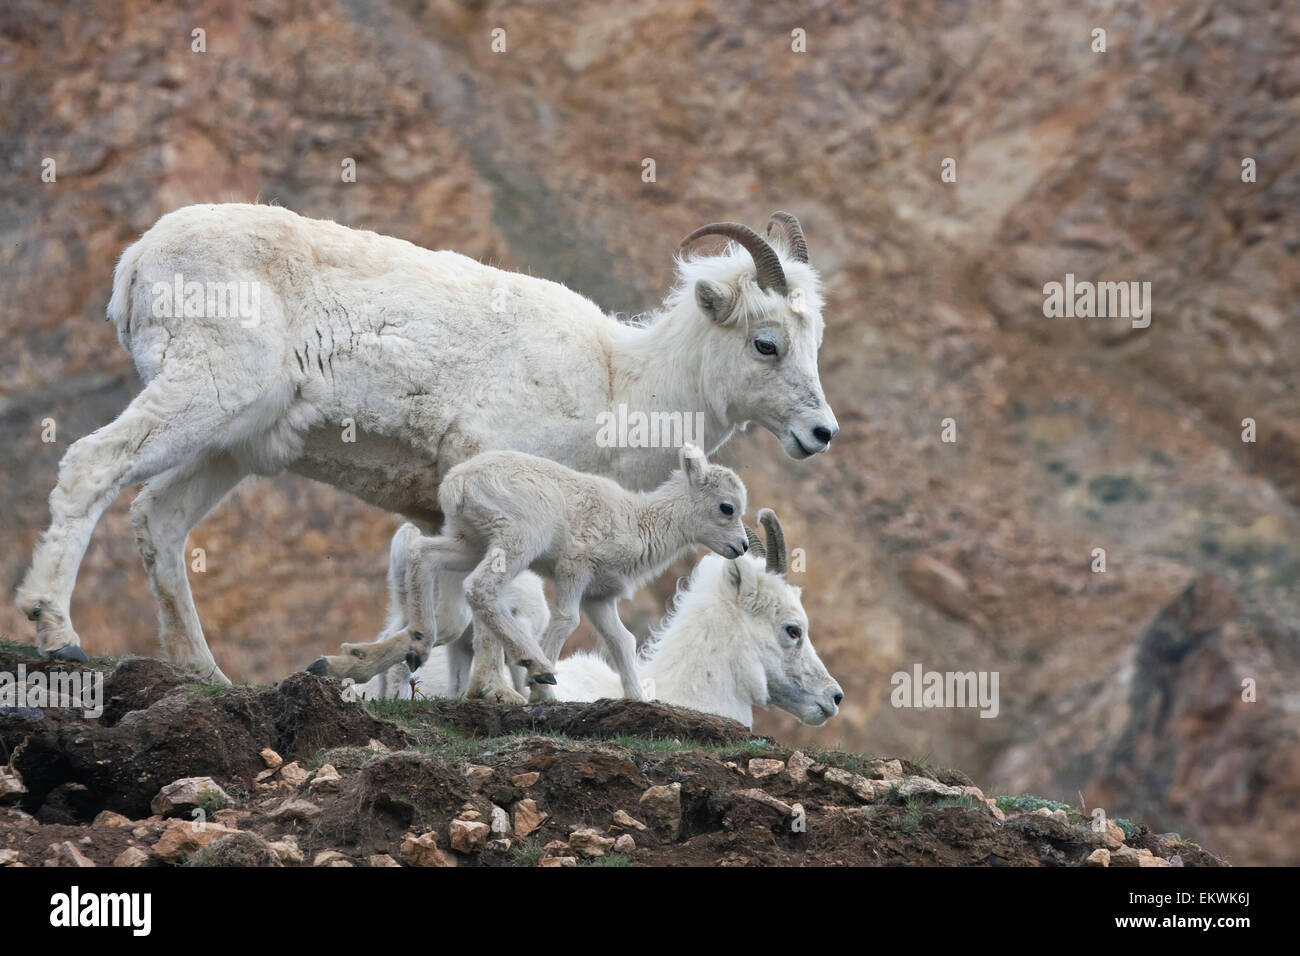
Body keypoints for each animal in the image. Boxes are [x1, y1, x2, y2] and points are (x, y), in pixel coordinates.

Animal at [395, 443, 748, 703]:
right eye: (727, 508)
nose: (742, 546)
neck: (637, 522)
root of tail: (457, 484)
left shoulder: (598, 597)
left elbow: (622, 640)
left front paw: (638, 698)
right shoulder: (574, 568)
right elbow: (566, 621)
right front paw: (543, 693)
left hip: (469, 542)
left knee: (423, 554)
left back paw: (418, 646)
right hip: (519, 540)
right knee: (480, 587)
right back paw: (536, 665)